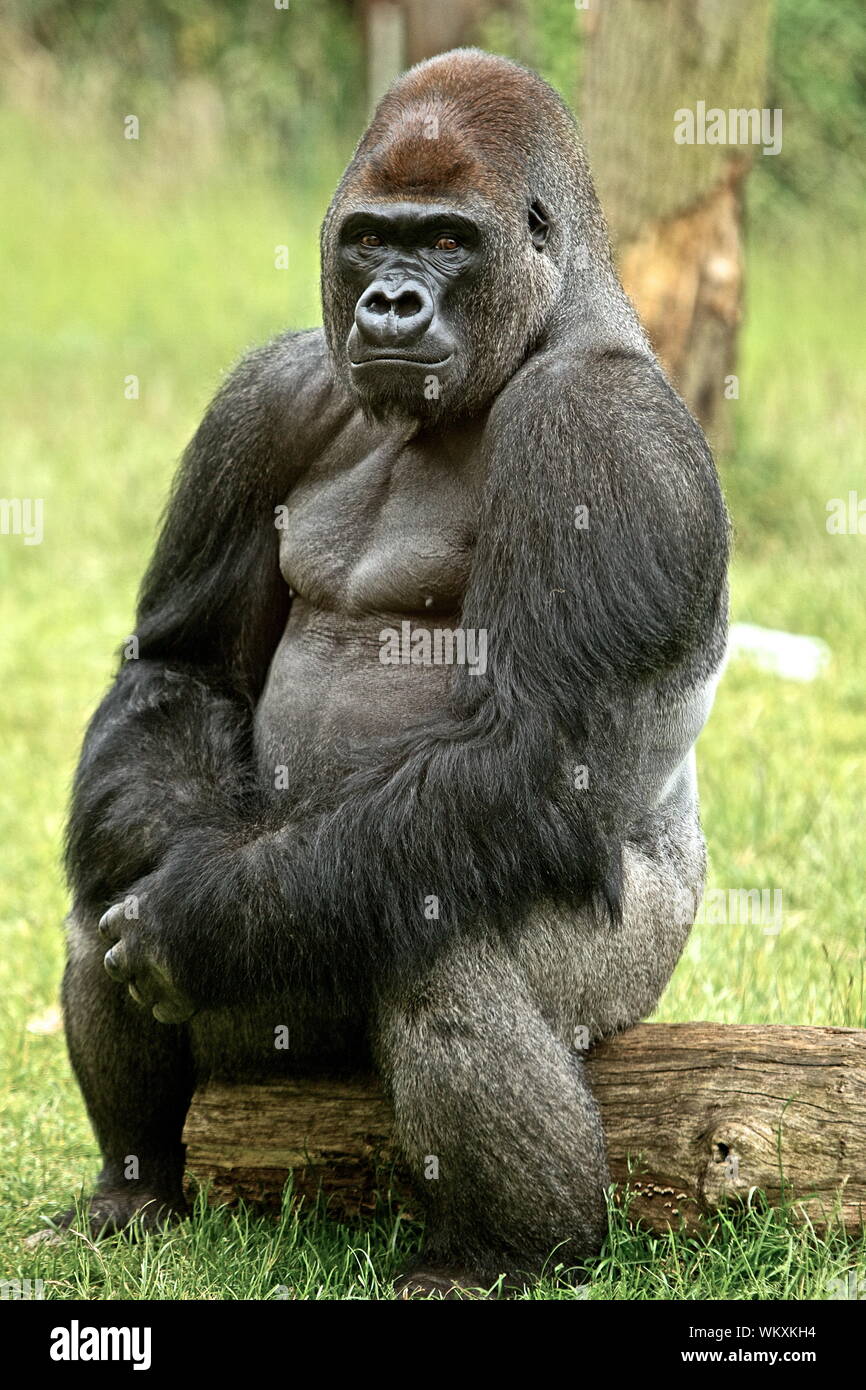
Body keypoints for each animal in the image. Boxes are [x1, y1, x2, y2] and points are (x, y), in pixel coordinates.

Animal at [58, 49, 729, 1296]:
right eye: (372, 238)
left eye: (449, 242)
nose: (390, 304)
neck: (548, 317)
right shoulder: (270, 386)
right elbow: (184, 667)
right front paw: (170, 858)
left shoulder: (599, 433)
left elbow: (531, 750)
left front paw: (200, 912)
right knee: (106, 882)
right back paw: (138, 1180)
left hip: (632, 976)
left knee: (435, 950)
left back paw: (515, 1250)